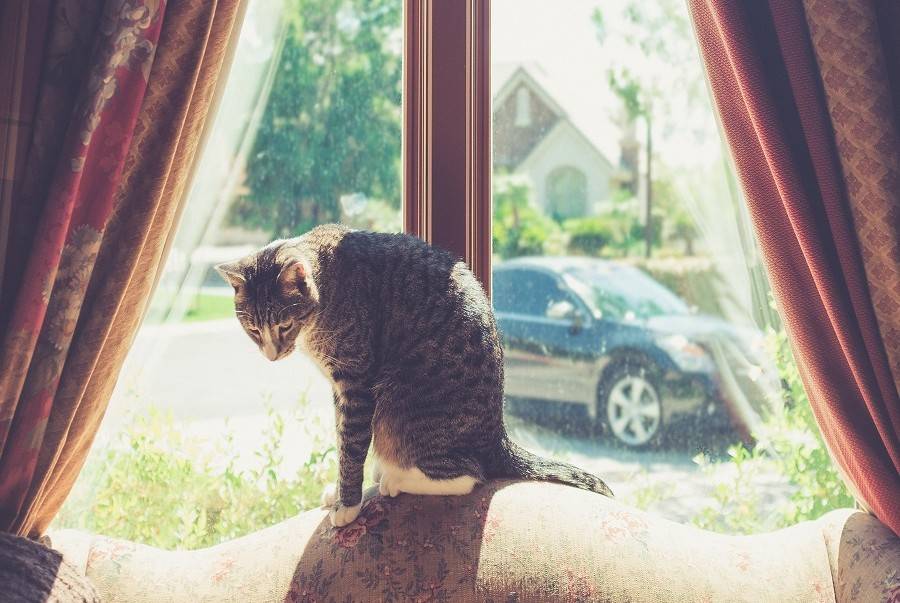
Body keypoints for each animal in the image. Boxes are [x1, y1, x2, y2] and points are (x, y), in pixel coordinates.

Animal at [217, 224, 612, 528]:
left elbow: (351, 447)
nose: (271, 355)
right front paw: (339, 491)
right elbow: (343, 439)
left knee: (468, 474)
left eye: (283, 325)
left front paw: (347, 505)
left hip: (401, 406)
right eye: (253, 330)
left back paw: (395, 478)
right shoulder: (338, 390)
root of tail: (497, 435)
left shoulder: (356, 383)